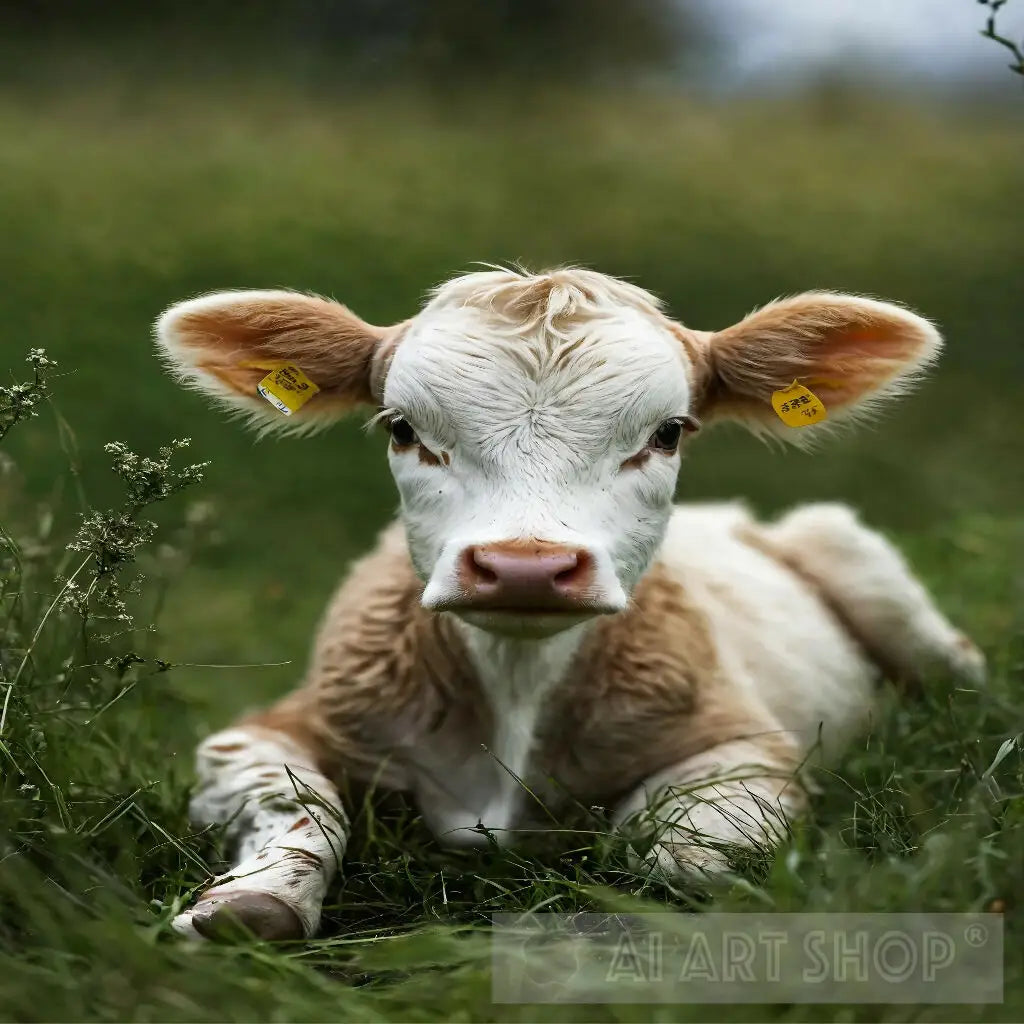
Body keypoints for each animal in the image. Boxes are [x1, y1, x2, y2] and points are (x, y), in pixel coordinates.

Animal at [156, 267, 984, 941]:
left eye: (668, 433)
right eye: (403, 429)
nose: (525, 568)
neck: (516, 688)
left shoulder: (747, 743)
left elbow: (684, 850)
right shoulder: (271, 727)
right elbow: (298, 806)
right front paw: (248, 903)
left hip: (861, 563)